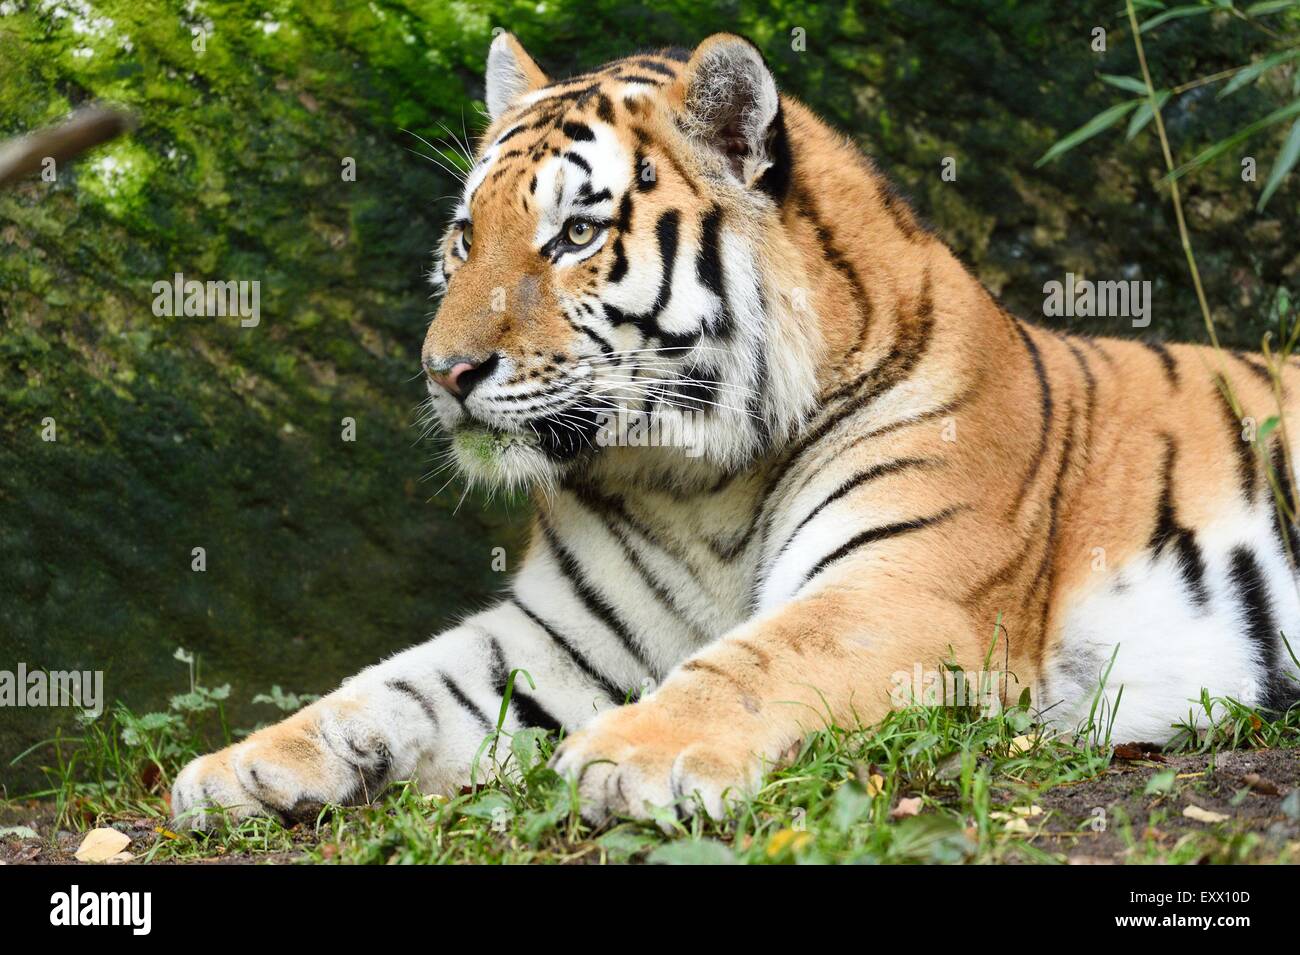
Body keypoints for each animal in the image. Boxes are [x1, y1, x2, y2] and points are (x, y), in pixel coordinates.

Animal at [171, 32, 1300, 828]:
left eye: (574, 233)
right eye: (464, 236)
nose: (442, 372)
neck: (692, 481)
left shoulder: (901, 588)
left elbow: (759, 657)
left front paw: (628, 758)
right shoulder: (561, 636)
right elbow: (396, 682)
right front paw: (241, 764)